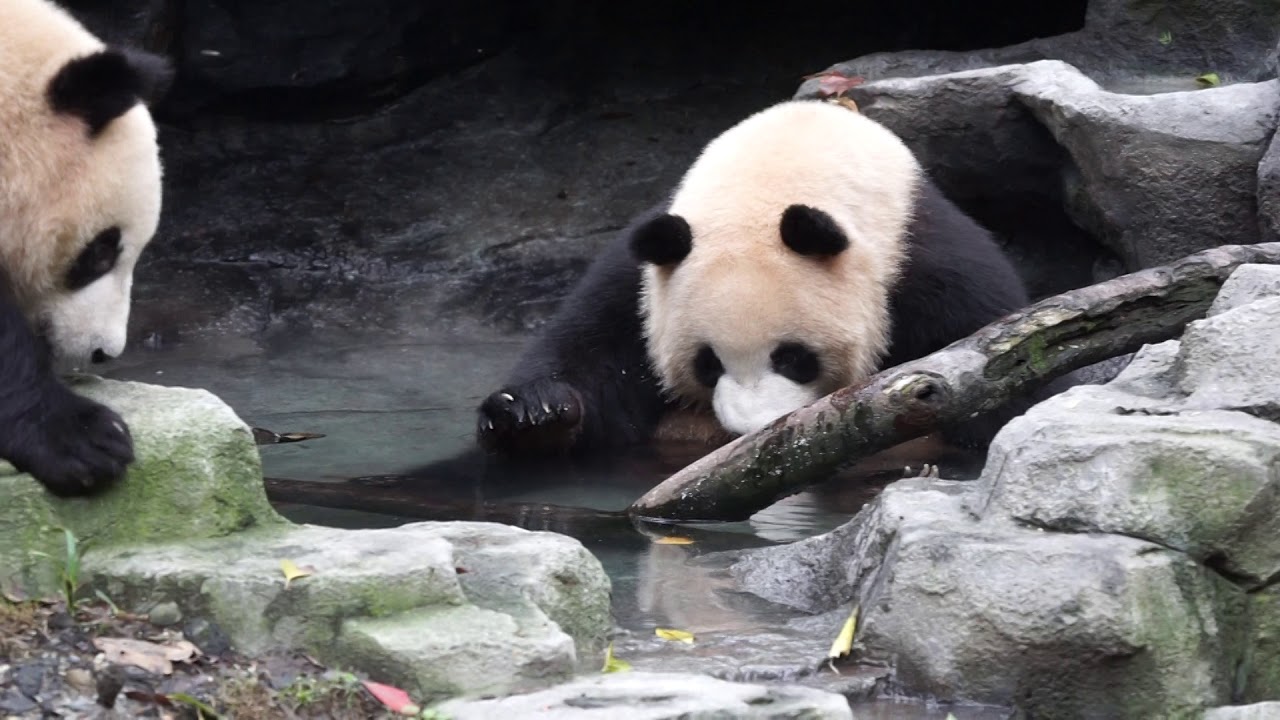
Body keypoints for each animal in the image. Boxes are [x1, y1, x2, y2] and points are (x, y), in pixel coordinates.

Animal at [476, 99, 1045, 457]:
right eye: (707, 363)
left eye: (792, 357)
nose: (751, 429)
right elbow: (590, 356)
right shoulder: (640, 277)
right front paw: (534, 413)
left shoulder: (920, 261)